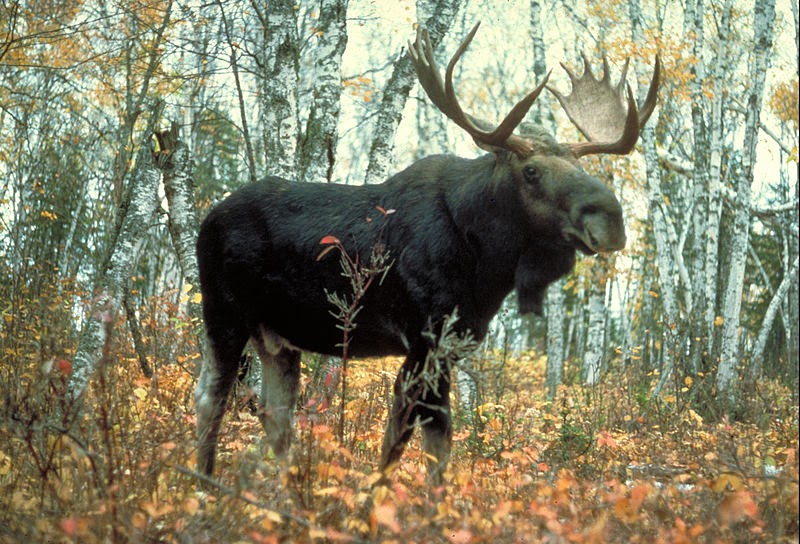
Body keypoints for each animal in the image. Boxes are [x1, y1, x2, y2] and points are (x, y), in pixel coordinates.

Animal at [194, 22, 659, 487]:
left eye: (582, 169)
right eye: (531, 171)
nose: (611, 218)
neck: (486, 264)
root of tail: (207, 218)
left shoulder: (451, 344)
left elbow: (431, 443)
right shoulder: (425, 338)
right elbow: (409, 439)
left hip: (276, 338)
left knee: (276, 418)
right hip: (224, 313)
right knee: (210, 397)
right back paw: (205, 484)